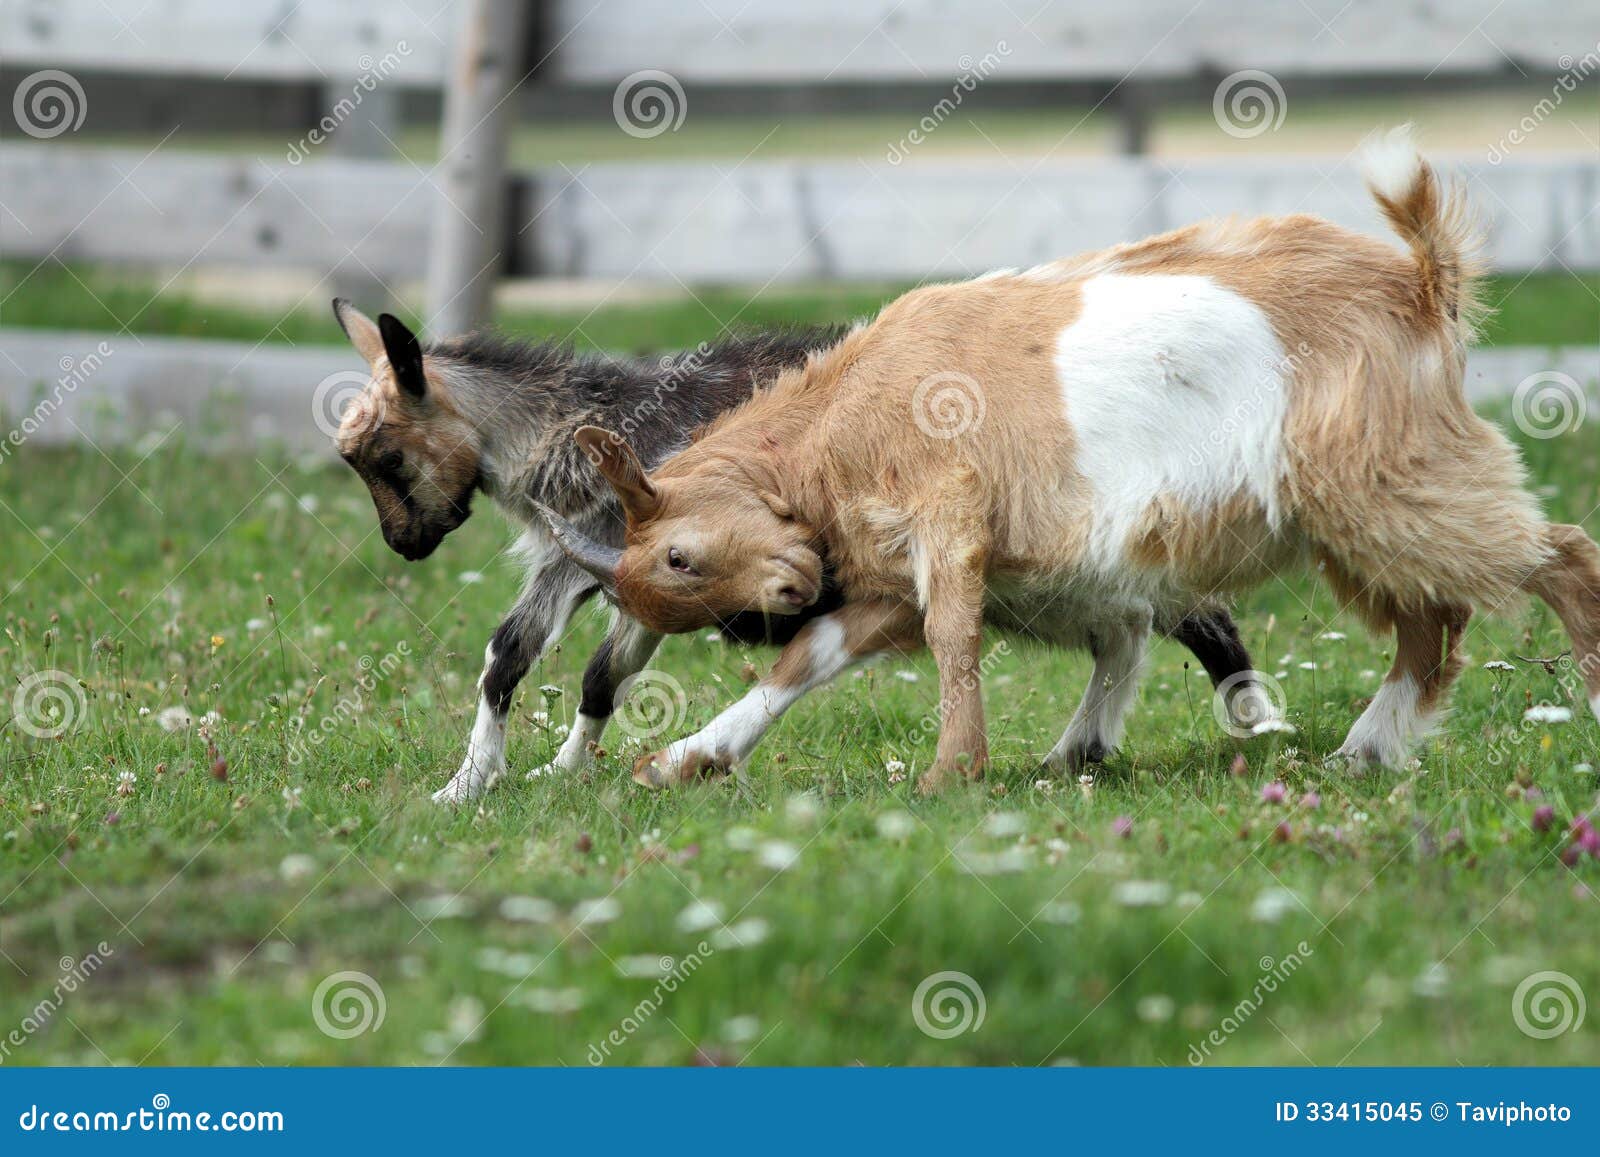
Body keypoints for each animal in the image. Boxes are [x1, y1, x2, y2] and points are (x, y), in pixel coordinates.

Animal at [540, 129, 1600, 793]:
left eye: (678, 555)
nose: (787, 593)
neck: (838, 415)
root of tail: (1420, 282)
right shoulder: (883, 580)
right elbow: (813, 659)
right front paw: (686, 760)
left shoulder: (947, 518)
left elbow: (954, 635)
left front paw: (950, 772)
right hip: (1361, 513)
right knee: (1436, 622)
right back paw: (1363, 752)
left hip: (1392, 485)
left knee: (1557, 553)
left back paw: (1577, 697)